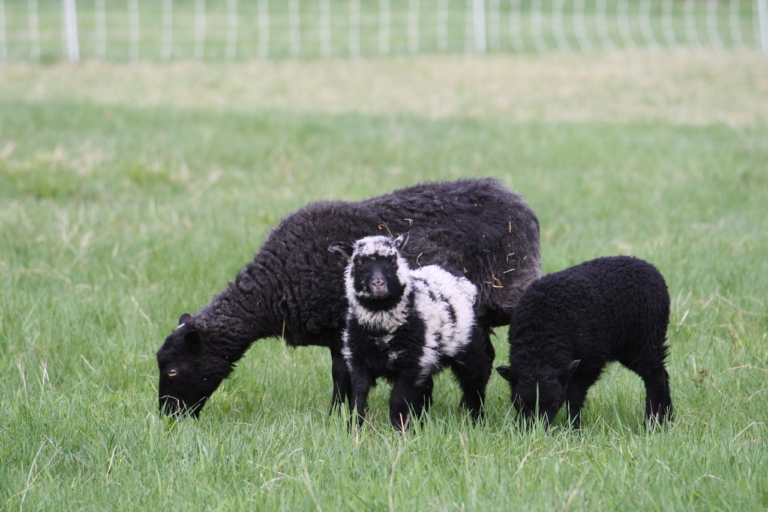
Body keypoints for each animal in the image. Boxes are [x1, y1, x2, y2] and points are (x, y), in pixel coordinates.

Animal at [329, 233, 490, 429]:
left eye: (392, 262)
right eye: (359, 265)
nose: (378, 284)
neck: (381, 329)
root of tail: (452, 272)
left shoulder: (410, 365)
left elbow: (397, 401)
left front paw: (398, 431)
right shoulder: (359, 361)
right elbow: (358, 398)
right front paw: (354, 429)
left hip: (471, 350)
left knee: (475, 386)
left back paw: (477, 422)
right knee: (426, 389)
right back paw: (421, 424)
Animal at [496, 256, 672, 430]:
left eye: (555, 402)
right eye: (521, 402)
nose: (537, 430)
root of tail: (650, 268)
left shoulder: (588, 363)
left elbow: (574, 397)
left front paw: (573, 428)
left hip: (646, 339)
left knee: (655, 377)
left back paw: (652, 423)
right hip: (630, 348)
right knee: (663, 374)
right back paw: (667, 419)